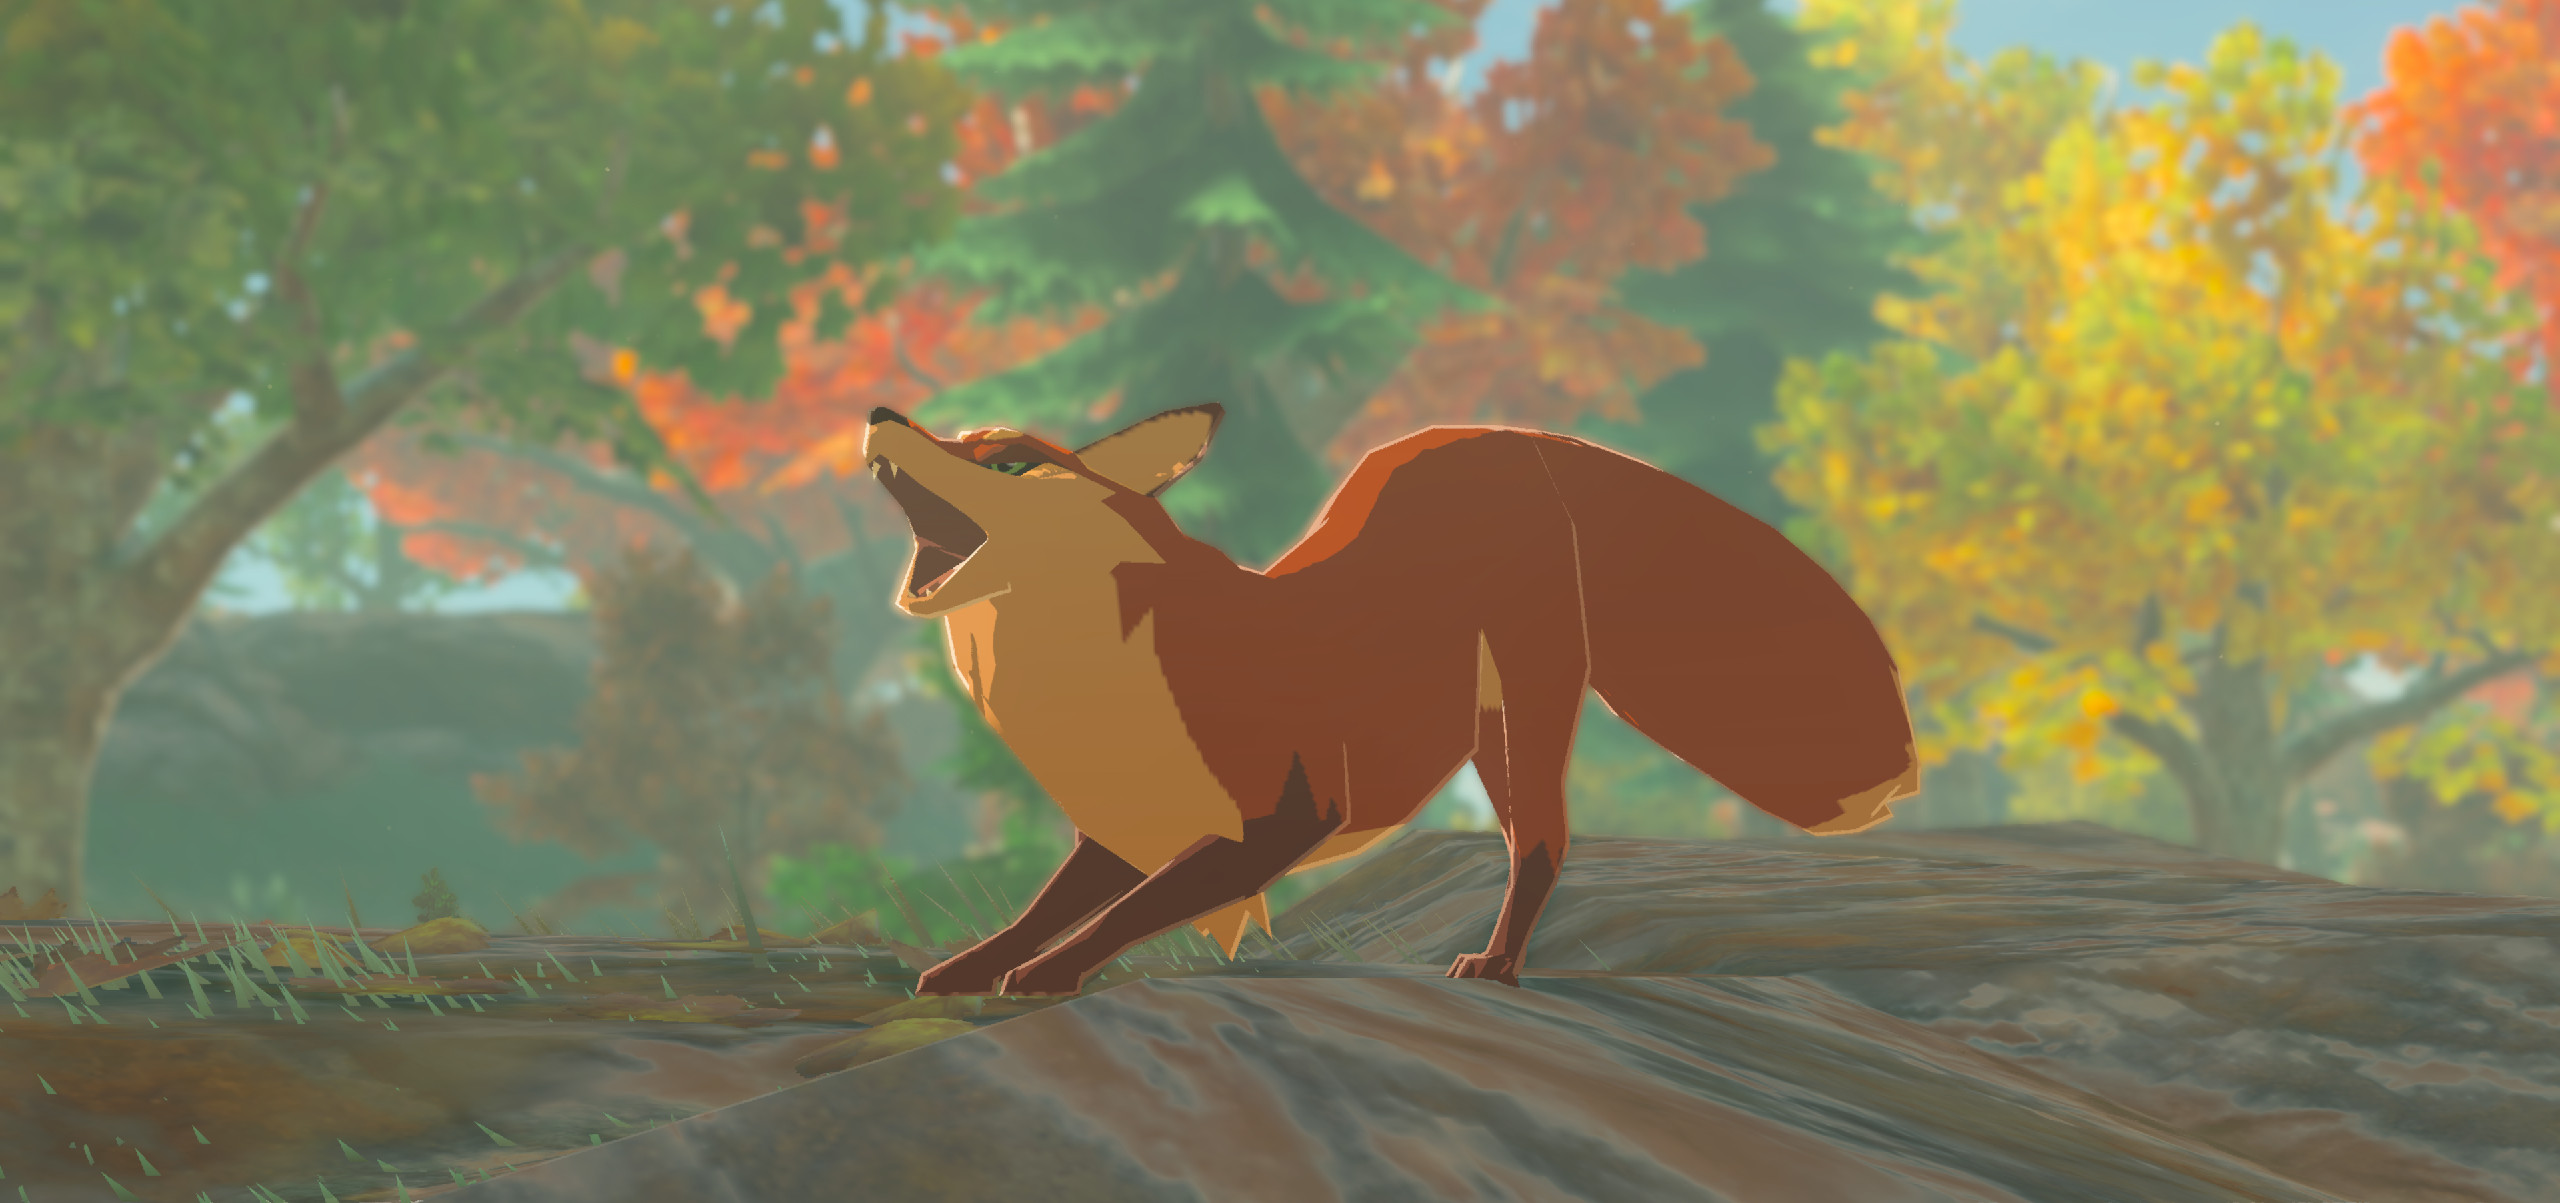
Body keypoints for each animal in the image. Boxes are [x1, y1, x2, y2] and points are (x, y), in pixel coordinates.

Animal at [859, 402, 1919, 996]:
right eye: (958, 436)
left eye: (1007, 461)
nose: (879, 415)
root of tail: (1511, 433)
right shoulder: (1124, 824)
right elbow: (1049, 907)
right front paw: (963, 969)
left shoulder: (1288, 812)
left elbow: (1126, 915)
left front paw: (1044, 976)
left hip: (1519, 710)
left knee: (1544, 842)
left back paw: (1499, 965)